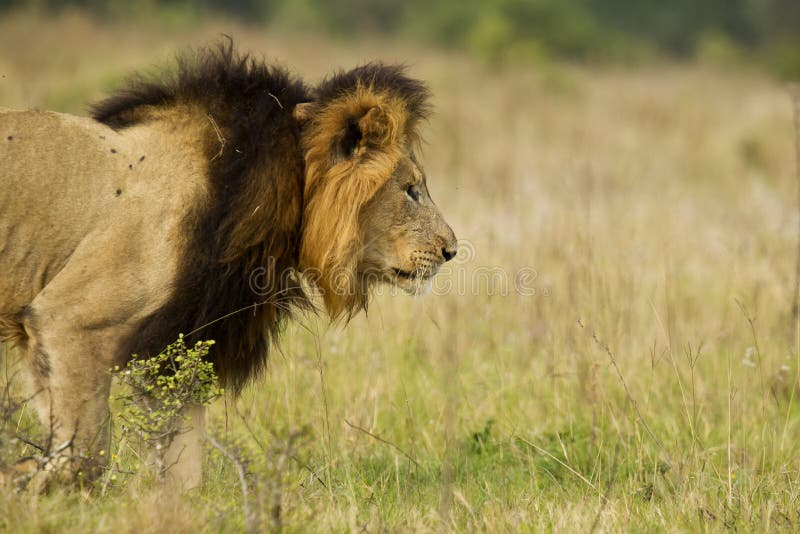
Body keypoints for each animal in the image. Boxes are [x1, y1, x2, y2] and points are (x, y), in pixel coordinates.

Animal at [0, 42, 457, 490]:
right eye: (410, 190)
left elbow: (184, 475)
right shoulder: (70, 320)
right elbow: (86, 455)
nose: (451, 249)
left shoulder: (180, 344)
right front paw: (21, 478)